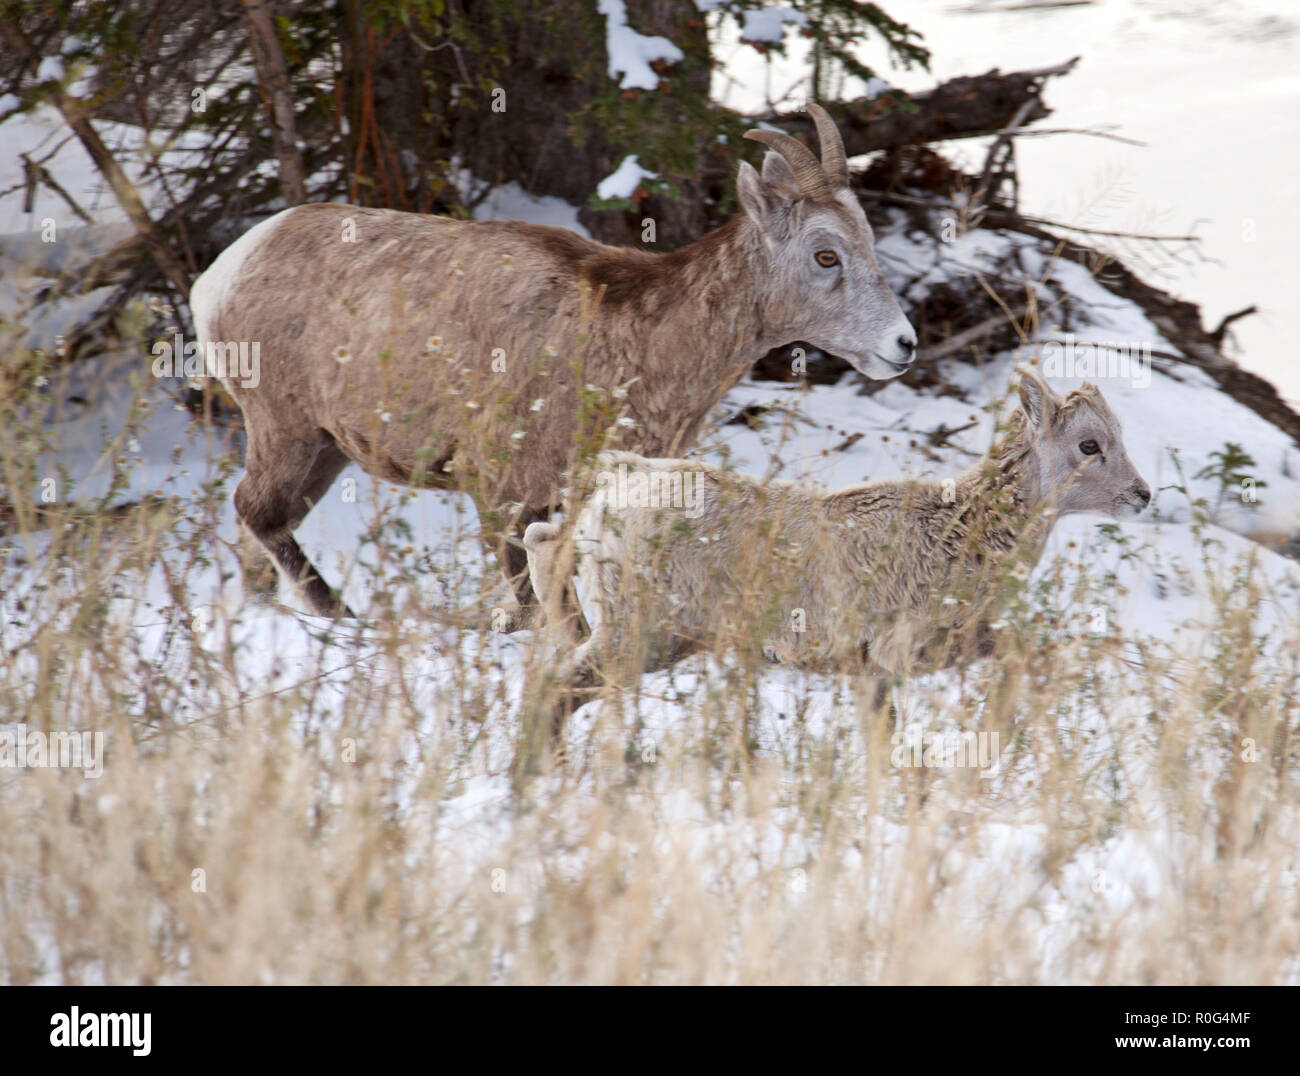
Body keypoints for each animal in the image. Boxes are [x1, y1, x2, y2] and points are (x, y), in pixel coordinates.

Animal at [189, 104, 917, 621]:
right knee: (257, 510)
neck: (641, 343)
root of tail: (218, 277)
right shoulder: (504, 490)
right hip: (283, 426)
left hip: (328, 446)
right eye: (826, 255)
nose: (903, 345)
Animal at [524, 369, 1150, 682]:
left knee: (542, 545)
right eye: (1089, 445)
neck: (965, 531)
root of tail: (618, 477)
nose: (1142, 496)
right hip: (640, 637)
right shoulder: (907, 654)